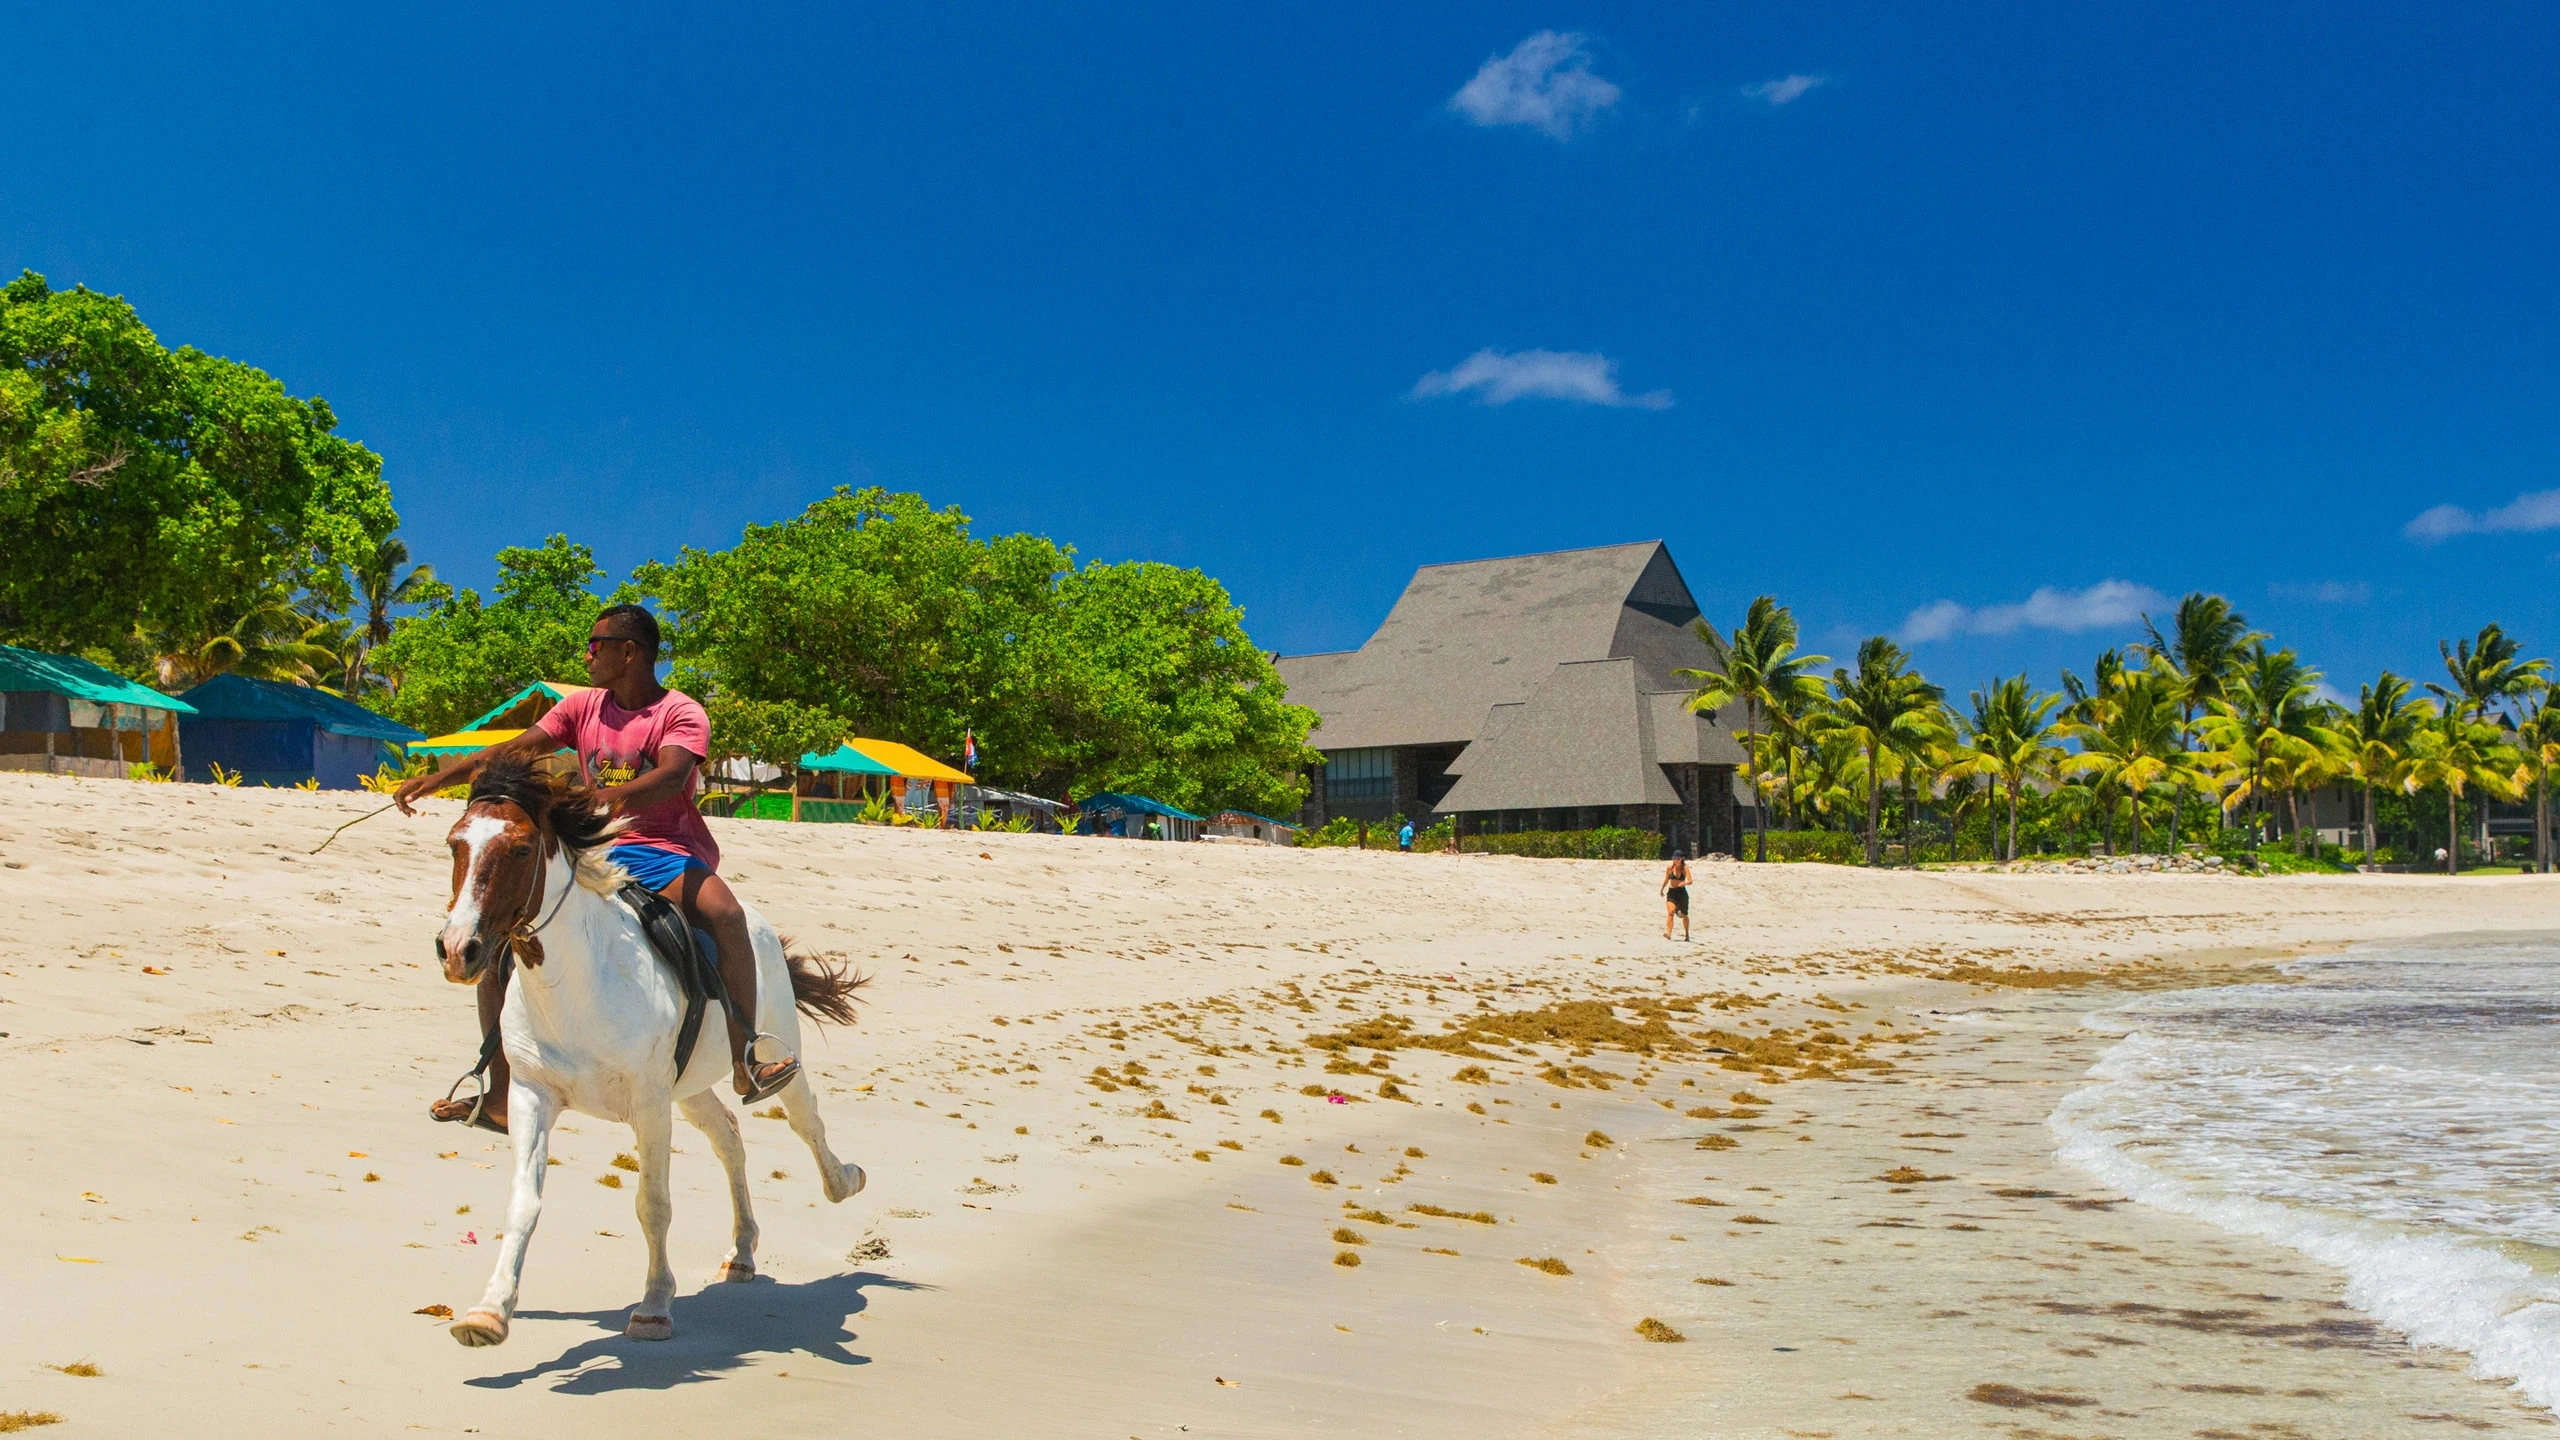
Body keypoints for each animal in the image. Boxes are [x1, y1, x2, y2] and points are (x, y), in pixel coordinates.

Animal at [433, 756, 867, 1347]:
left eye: (520, 849)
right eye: (455, 843)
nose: (459, 950)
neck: (577, 982)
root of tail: (762, 928)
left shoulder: (648, 1105)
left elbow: (652, 1205)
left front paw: (655, 1306)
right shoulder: (531, 1096)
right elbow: (523, 1202)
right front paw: (488, 1313)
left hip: (772, 1059)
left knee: (807, 1123)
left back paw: (844, 1181)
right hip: (690, 1089)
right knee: (729, 1139)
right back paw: (742, 1253)